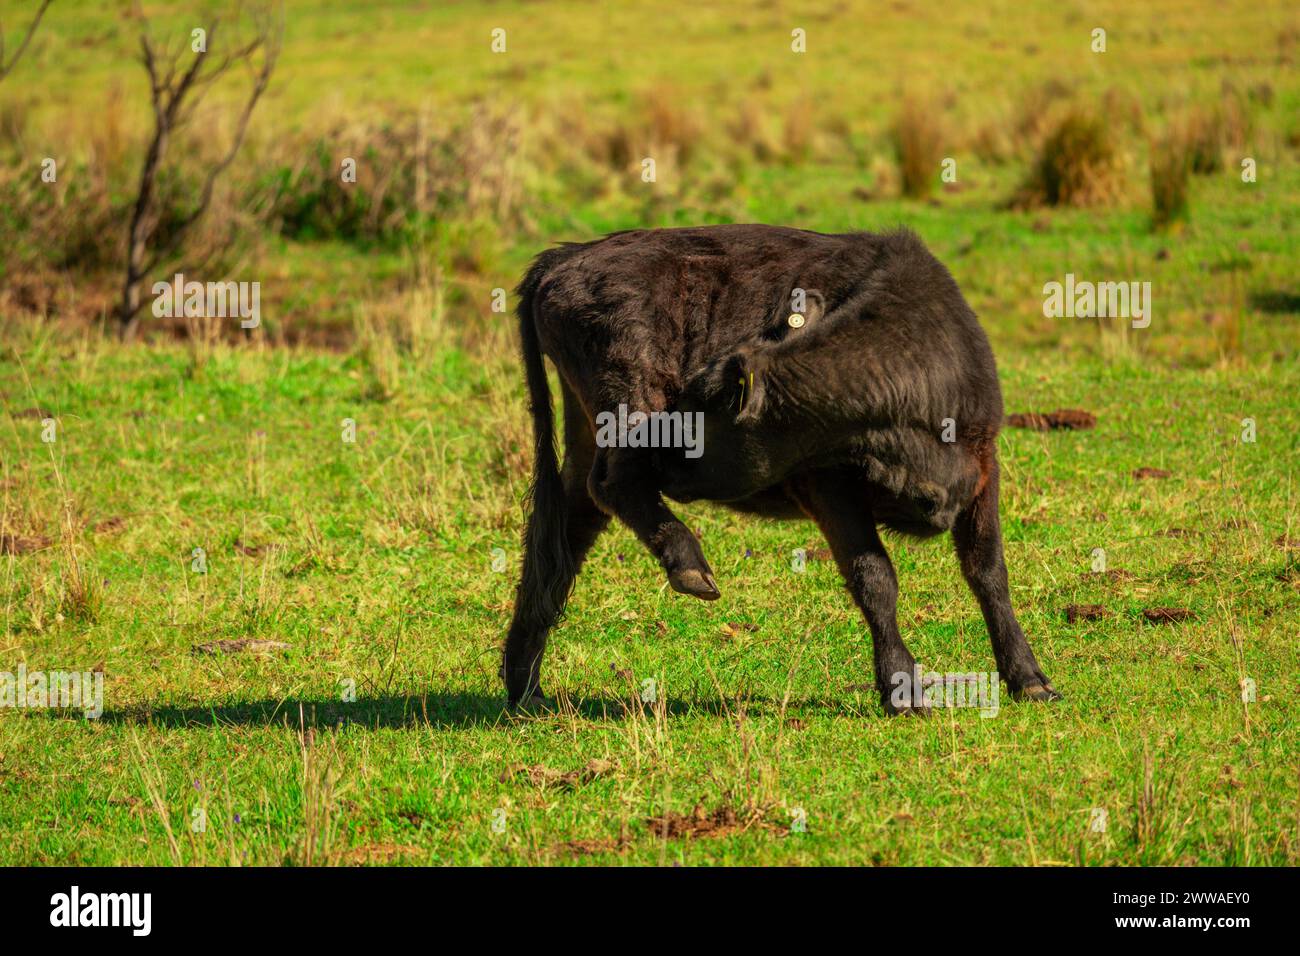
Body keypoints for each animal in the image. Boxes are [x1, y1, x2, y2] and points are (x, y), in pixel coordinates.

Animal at [502, 224, 1060, 715]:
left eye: (699, 405)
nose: (666, 461)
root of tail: (571, 254)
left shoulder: (983, 468)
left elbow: (987, 572)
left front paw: (1029, 678)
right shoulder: (826, 483)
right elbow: (875, 578)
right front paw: (902, 688)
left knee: (565, 533)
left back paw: (524, 686)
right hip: (626, 398)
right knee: (610, 485)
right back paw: (687, 563)